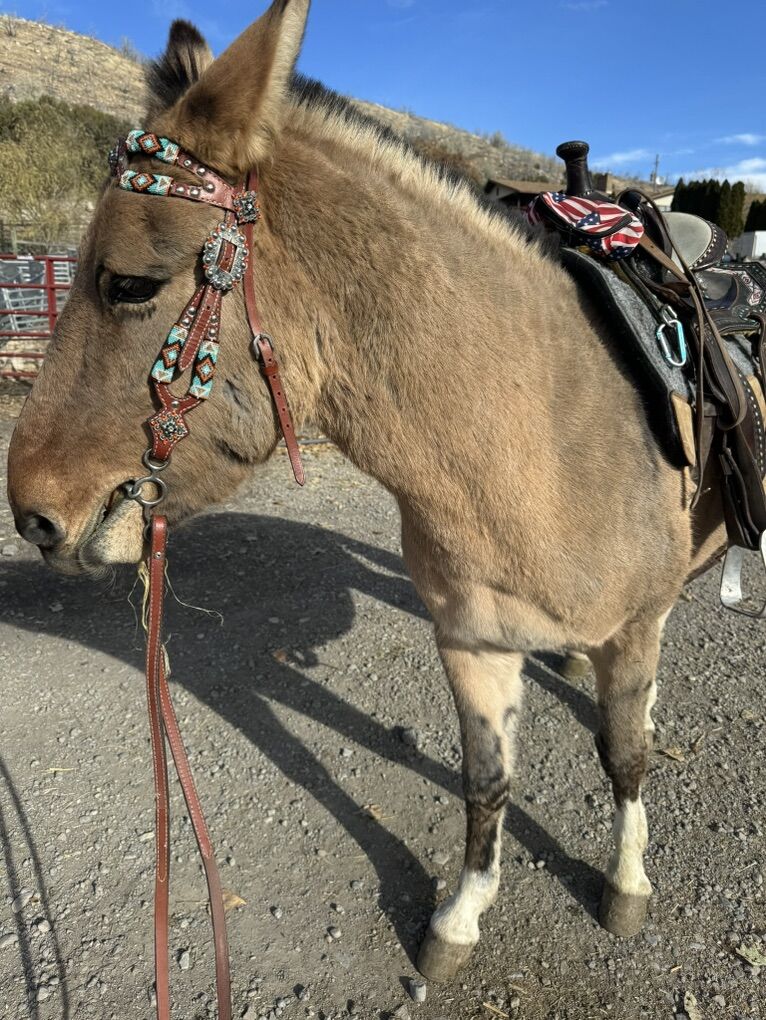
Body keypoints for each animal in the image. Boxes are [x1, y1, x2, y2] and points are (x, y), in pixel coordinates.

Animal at [6, 0, 729, 983]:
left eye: (128, 284)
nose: (32, 513)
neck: (540, 436)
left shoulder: (634, 626)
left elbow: (625, 755)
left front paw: (626, 882)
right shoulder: (473, 640)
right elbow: (486, 781)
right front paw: (461, 914)